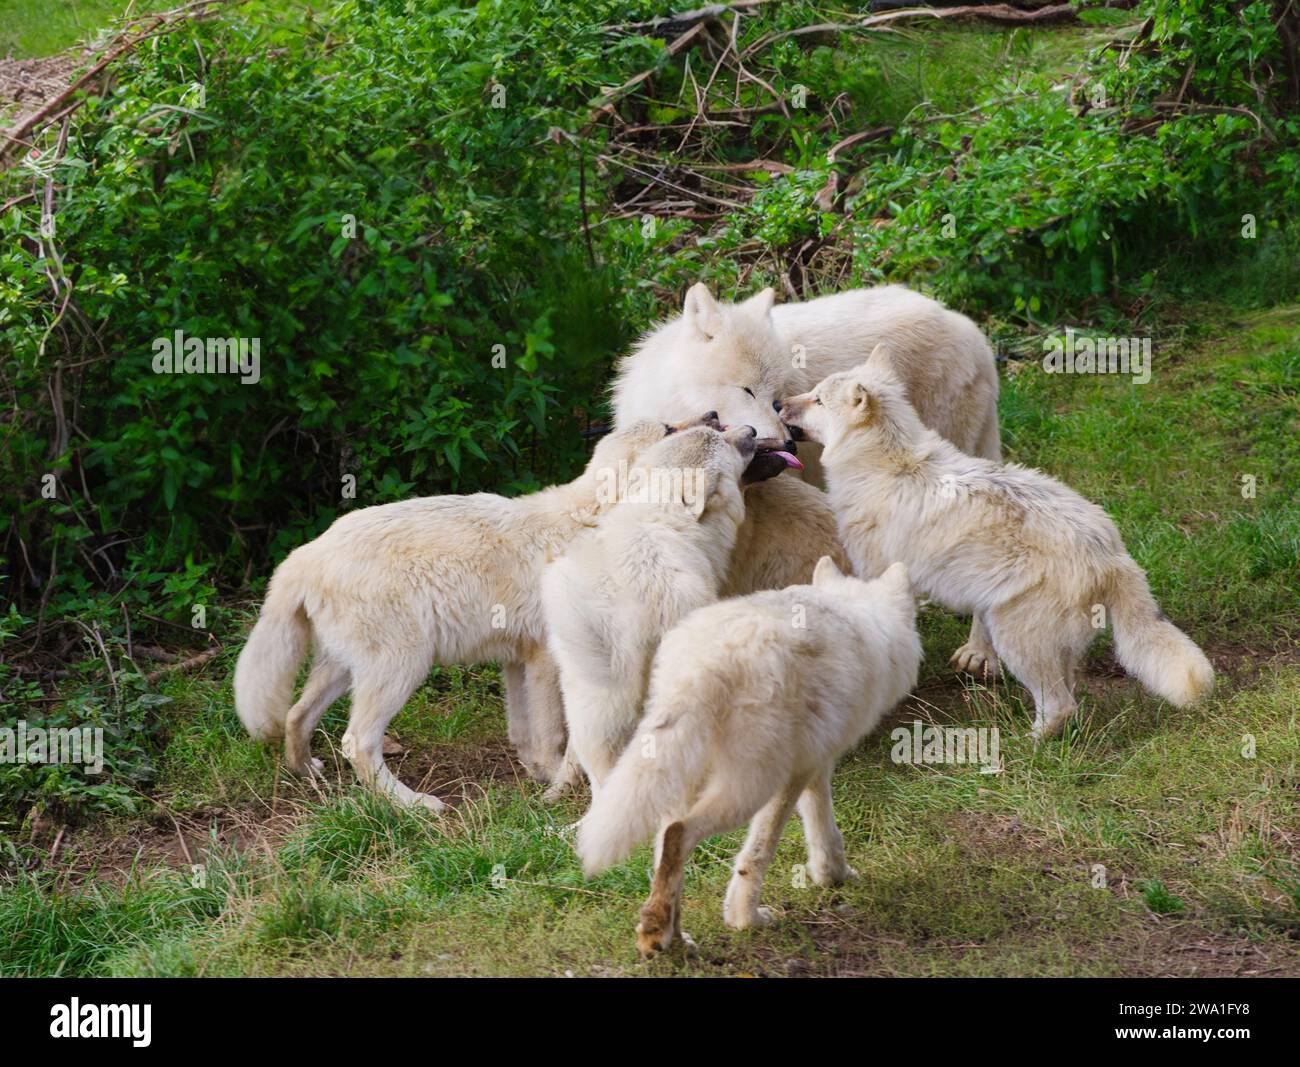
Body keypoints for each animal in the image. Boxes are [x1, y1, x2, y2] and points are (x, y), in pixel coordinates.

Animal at [232, 416, 708, 811]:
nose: (714, 416)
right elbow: (553, 733)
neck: (589, 523)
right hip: (401, 668)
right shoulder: (547, 659)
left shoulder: (517, 660)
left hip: (343, 670)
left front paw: (538, 776)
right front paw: (558, 781)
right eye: (669, 429)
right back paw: (415, 805)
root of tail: (307, 553)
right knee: (357, 743)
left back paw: (307, 773)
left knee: (295, 715)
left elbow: (522, 732)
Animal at [577, 558, 921, 957]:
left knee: (665, 844)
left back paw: (669, 937)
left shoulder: (812, 763)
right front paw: (746, 918)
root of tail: (704, 662)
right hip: (749, 789)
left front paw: (832, 874)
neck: (861, 617)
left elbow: (821, 827)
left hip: (681, 780)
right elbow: (762, 850)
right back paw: (695, 927)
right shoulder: (797, 774)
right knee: (680, 834)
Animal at [778, 348, 1215, 739]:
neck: (887, 463)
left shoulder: (877, 574)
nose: (779, 403)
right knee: (1071, 695)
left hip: (1016, 640)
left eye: (817, 399)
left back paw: (1028, 745)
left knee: (1060, 705)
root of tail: (1110, 553)